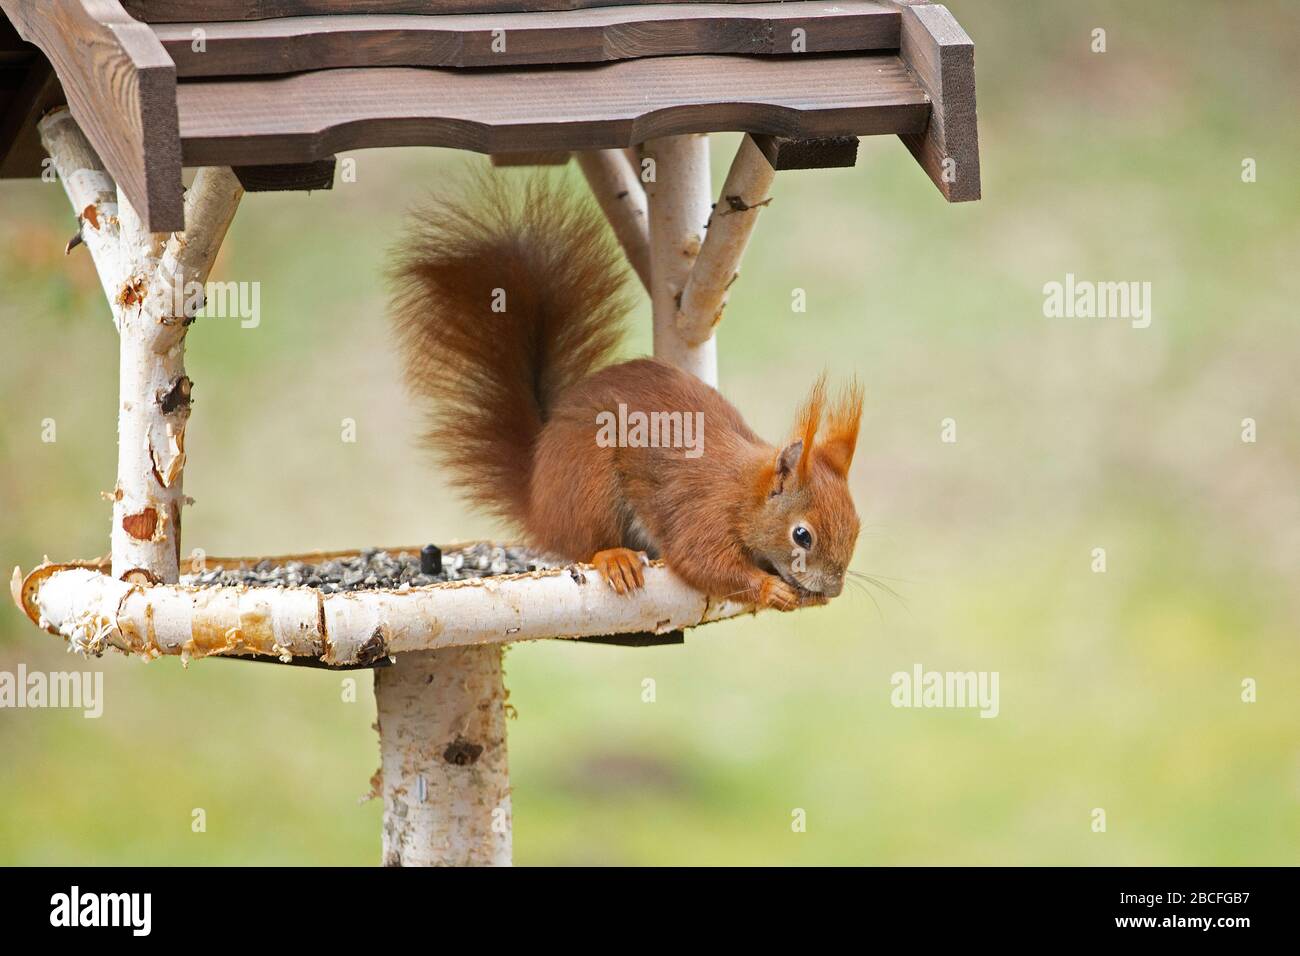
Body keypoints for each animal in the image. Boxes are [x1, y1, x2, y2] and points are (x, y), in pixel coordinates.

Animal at [391, 174, 862, 611]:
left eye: (857, 526)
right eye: (802, 535)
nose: (833, 591)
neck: (745, 493)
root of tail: (540, 498)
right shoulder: (703, 514)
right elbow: (701, 562)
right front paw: (771, 589)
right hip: (588, 477)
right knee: (585, 544)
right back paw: (614, 557)